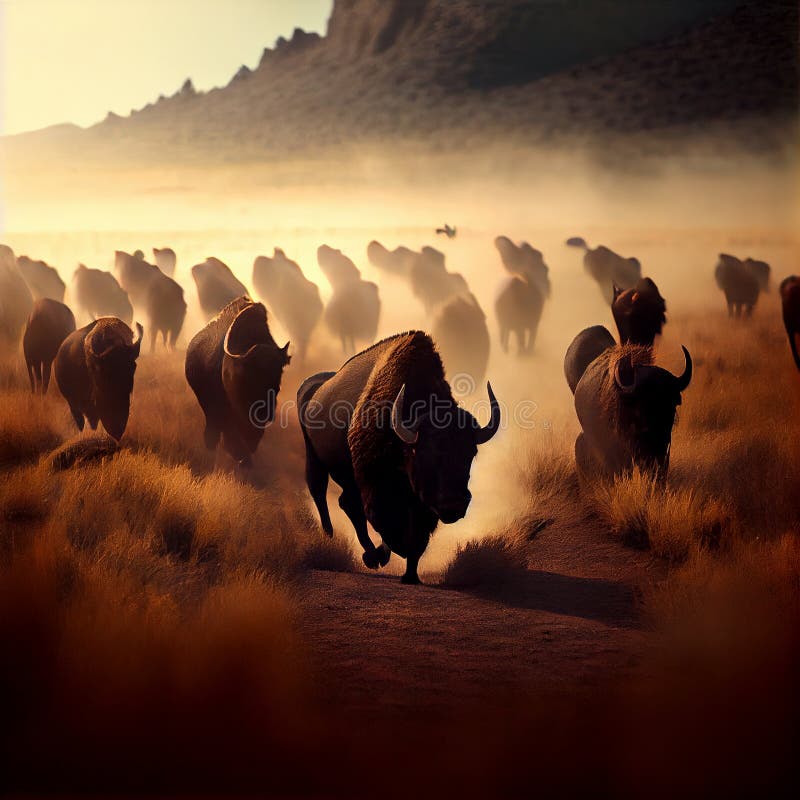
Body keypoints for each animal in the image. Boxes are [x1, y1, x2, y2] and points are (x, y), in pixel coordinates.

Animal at [298, 331, 500, 584]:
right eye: (422, 452)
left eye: (470, 452)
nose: (454, 504)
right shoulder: (378, 490)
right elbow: (388, 527)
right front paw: (383, 556)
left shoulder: (421, 503)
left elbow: (417, 538)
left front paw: (410, 576)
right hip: (314, 459)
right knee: (322, 494)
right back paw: (335, 539)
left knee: (347, 502)